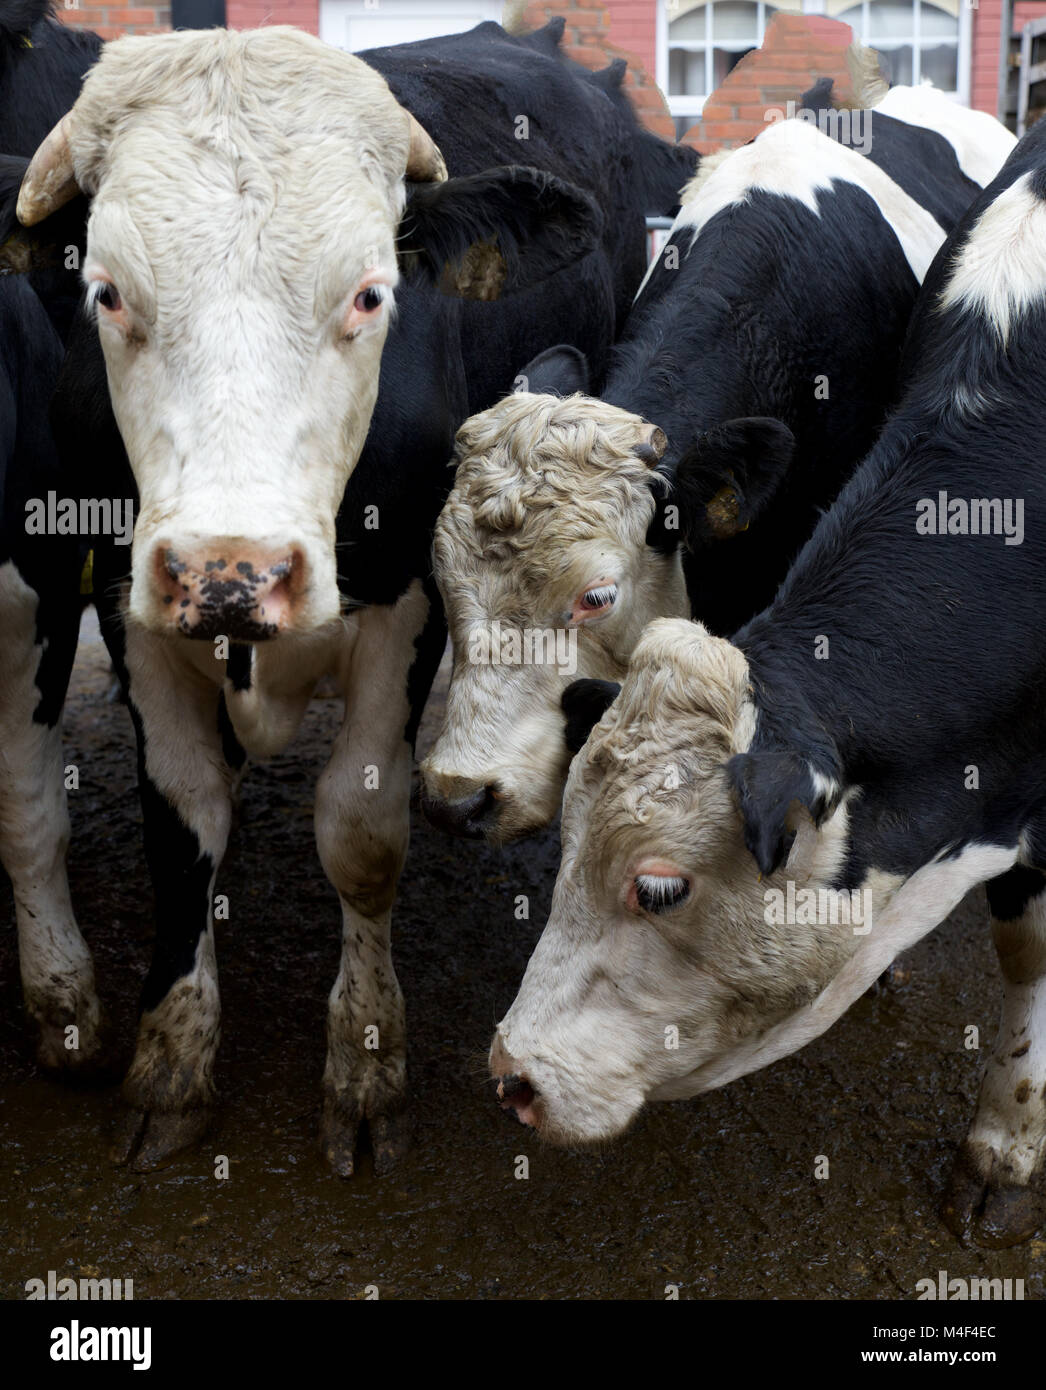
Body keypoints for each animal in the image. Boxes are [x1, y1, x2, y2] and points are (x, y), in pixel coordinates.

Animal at [4, 20, 696, 1174]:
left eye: (371, 293)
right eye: (107, 290)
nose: (231, 569)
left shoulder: (406, 609)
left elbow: (361, 833)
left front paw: (366, 1062)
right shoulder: (125, 611)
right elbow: (180, 822)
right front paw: (172, 1057)